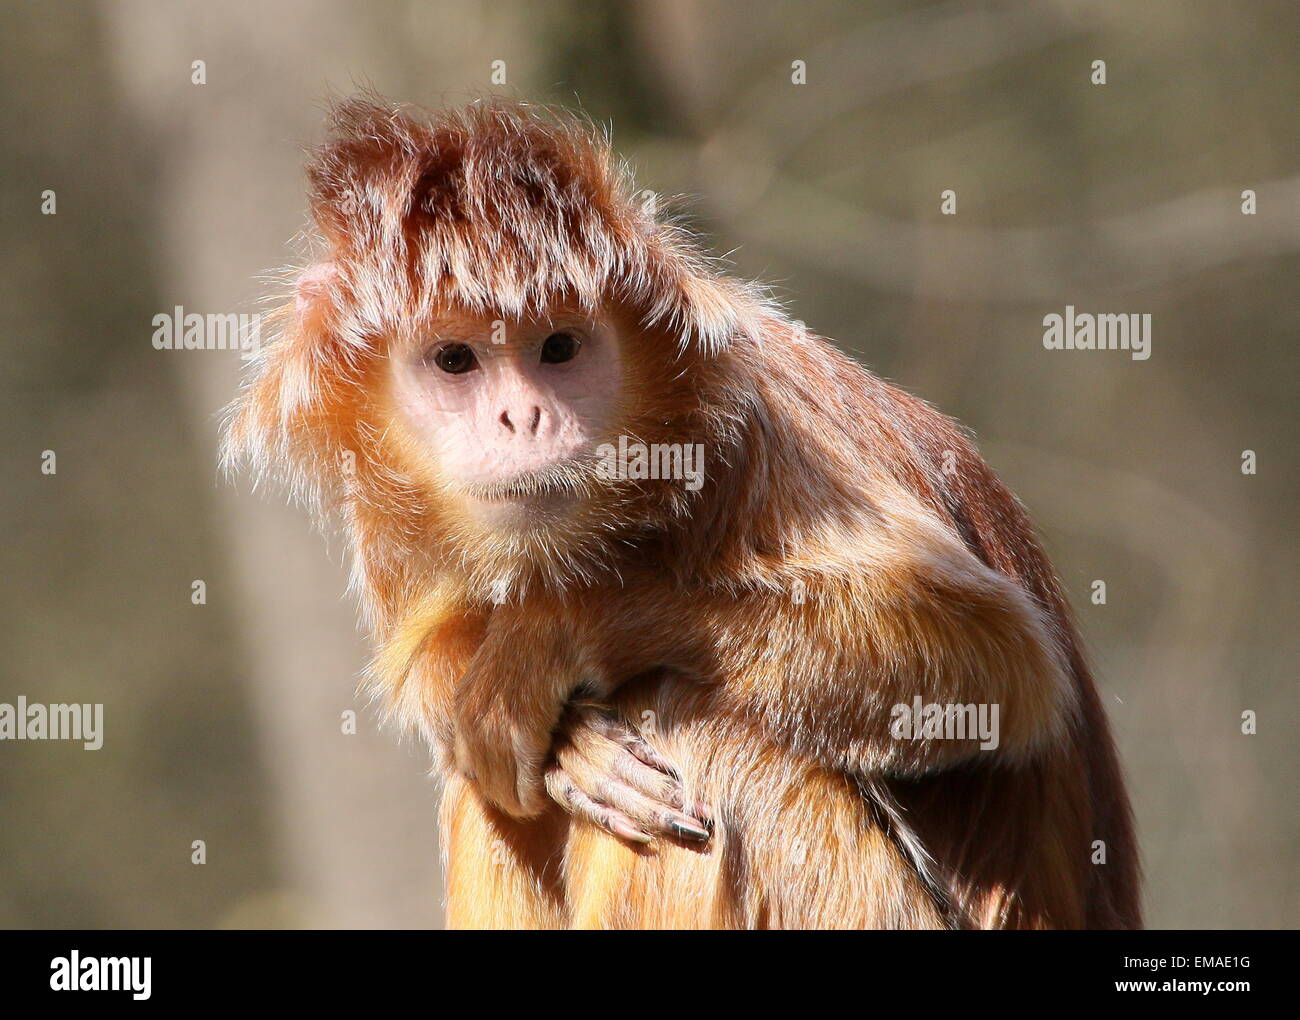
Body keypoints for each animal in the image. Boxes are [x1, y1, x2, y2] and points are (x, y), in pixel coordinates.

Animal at [224, 96, 1140, 930]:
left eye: (559, 348)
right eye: (456, 360)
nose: (521, 418)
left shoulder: (753, 435)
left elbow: (992, 661)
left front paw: (550, 637)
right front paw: (544, 722)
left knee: (716, 738)